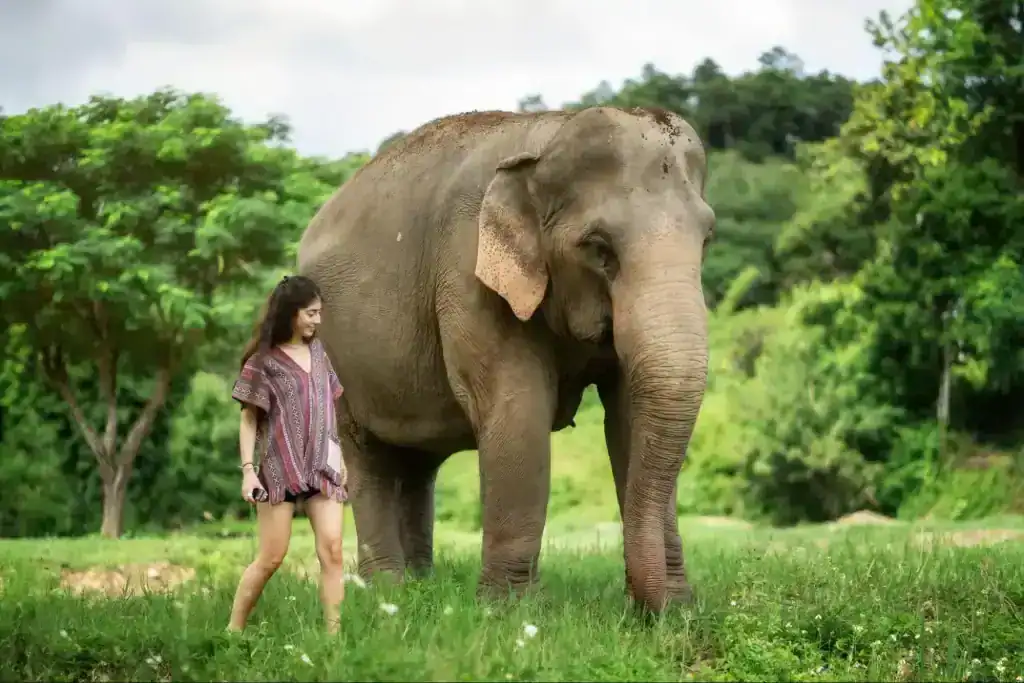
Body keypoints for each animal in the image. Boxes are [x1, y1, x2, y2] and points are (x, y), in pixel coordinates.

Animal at [296, 106, 713, 613]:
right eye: (599, 248)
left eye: (707, 239)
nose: (643, 608)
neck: (548, 134)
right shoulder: (468, 273)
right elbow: (518, 411)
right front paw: (512, 612)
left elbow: (630, 418)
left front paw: (678, 607)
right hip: (333, 352)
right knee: (367, 456)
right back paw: (387, 593)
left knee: (415, 465)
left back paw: (420, 586)